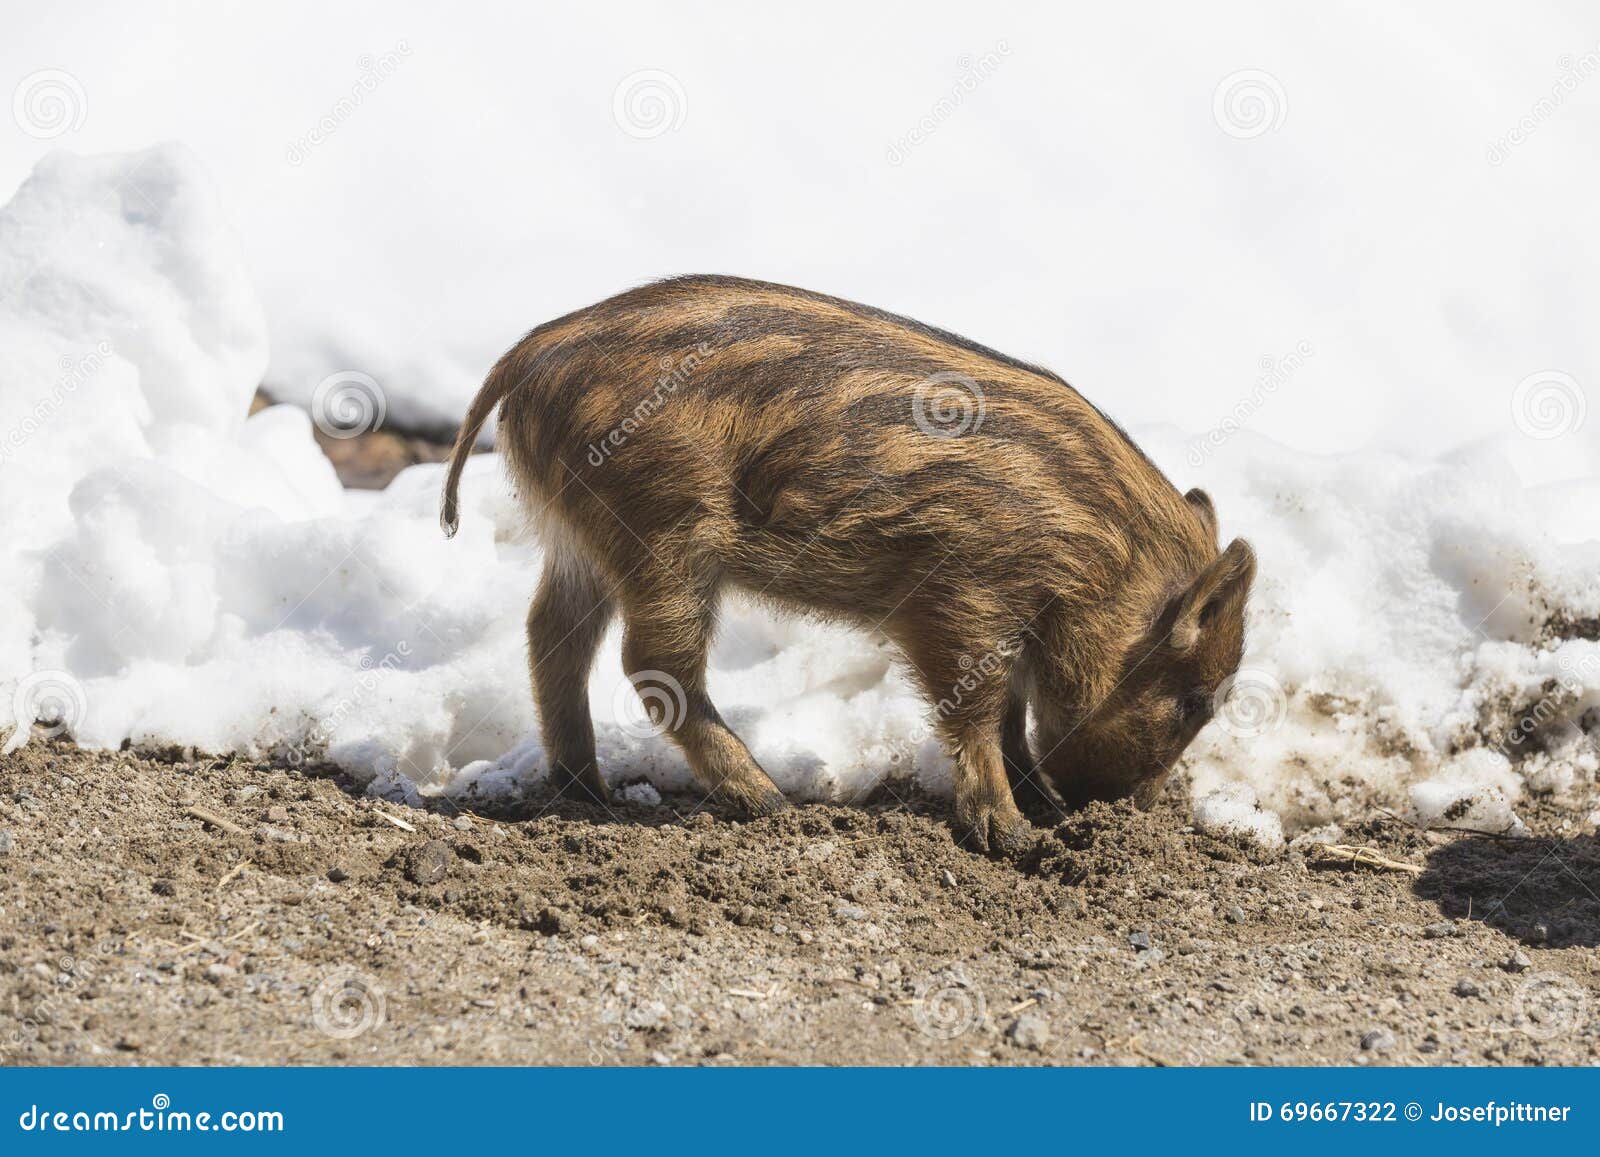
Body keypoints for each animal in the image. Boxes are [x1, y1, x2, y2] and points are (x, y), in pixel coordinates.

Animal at [440, 276, 1255, 853]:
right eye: (1194, 701)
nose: (1134, 816)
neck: (1094, 551)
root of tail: (533, 349)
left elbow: (1012, 717)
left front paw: (1040, 810)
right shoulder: (958, 598)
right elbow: (977, 712)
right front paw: (1018, 837)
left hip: (583, 540)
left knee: (552, 637)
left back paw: (587, 790)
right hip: (664, 533)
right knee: (652, 665)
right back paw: (768, 801)